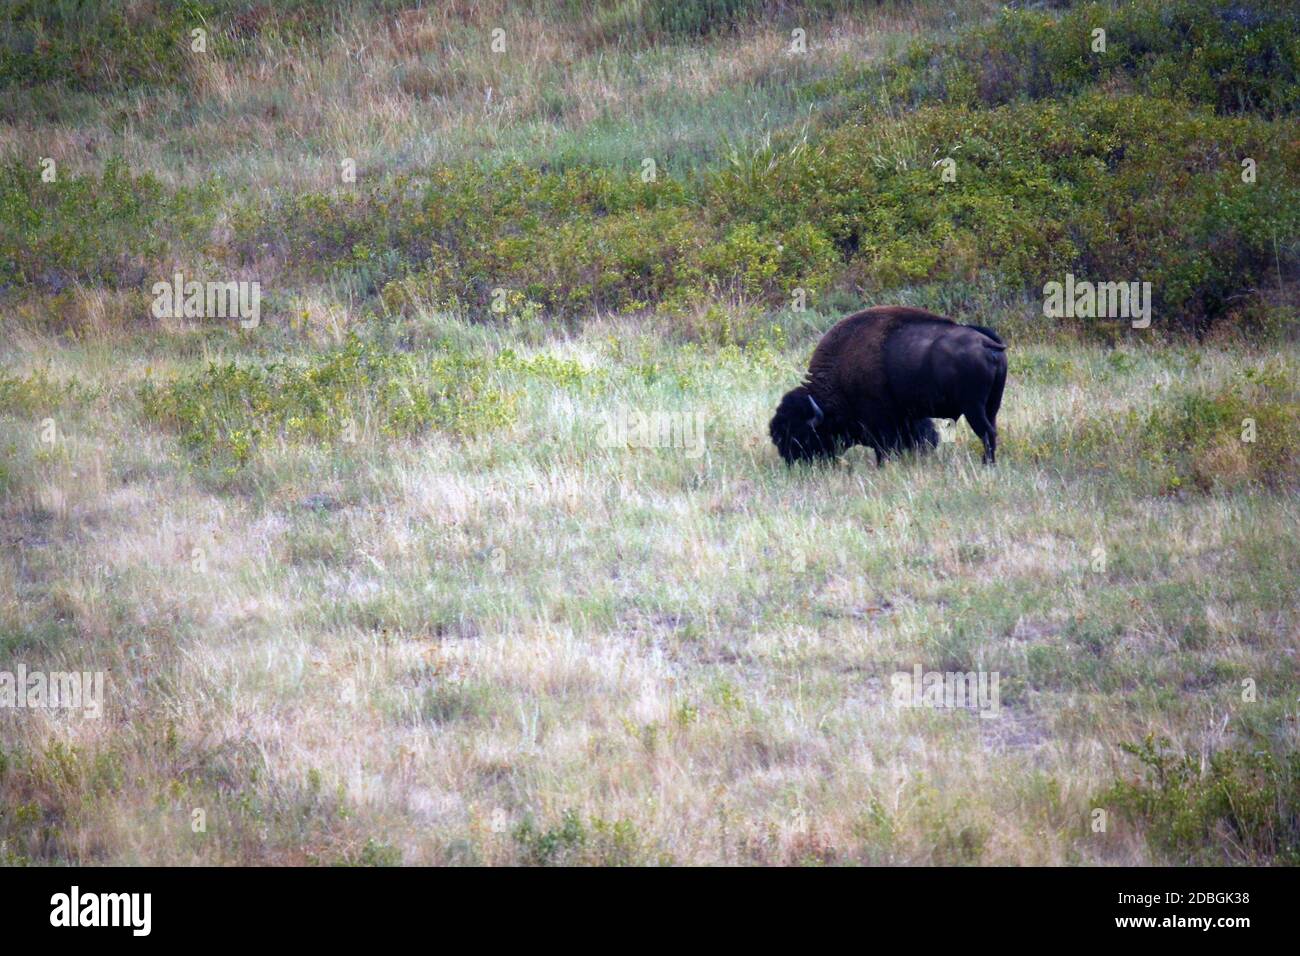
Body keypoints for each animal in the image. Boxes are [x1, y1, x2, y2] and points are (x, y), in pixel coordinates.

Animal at [769, 306, 1007, 466]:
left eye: (800, 435)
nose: (792, 462)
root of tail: (987, 343)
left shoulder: (881, 423)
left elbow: (884, 448)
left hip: (973, 407)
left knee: (986, 433)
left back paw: (986, 464)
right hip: (991, 405)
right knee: (992, 430)